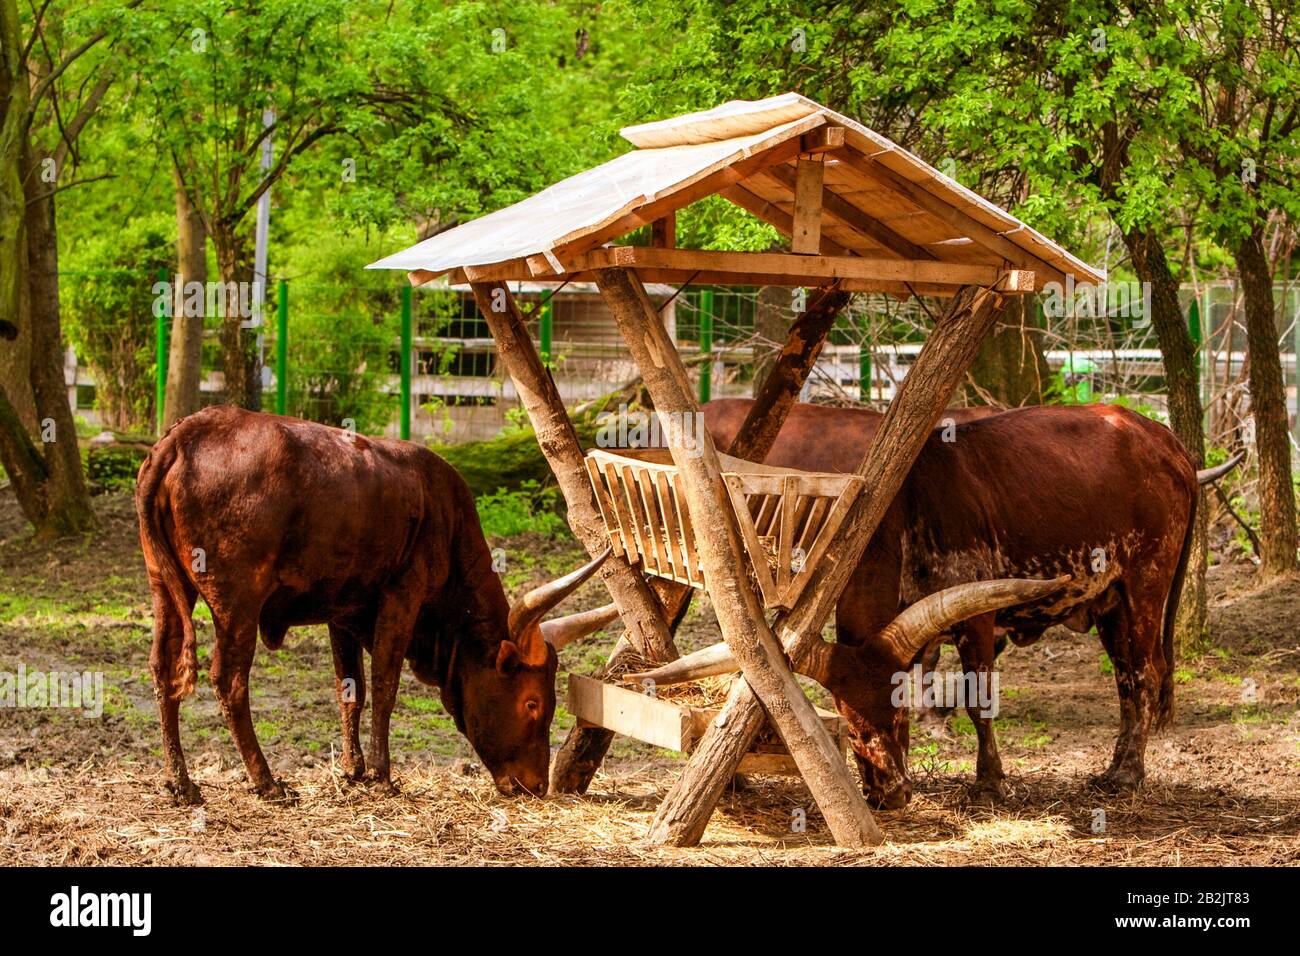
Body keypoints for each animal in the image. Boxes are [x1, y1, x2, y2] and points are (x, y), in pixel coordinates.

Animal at [137, 406, 611, 805]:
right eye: (532, 703)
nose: (535, 785)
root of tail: (183, 436)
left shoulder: (342, 612)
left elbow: (351, 690)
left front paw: (354, 769)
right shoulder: (402, 595)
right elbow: (384, 686)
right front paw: (382, 775)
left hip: (165, 586)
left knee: (163, 667)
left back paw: (180, 781)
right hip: (237, 599)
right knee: (229, 680)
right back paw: (265, 781)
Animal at [636, 403, 1198, 809]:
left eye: (893, 716)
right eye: (852, 728)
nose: (890, 794)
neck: (910, 511)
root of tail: (1162, 436)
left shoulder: (977, 617)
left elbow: (979, 702)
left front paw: (988, 783)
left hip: (1146, 583)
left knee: (1145, 674)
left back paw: (1128, 775)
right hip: (1111, 601)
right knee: (1125, 679)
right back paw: (1115, 767)